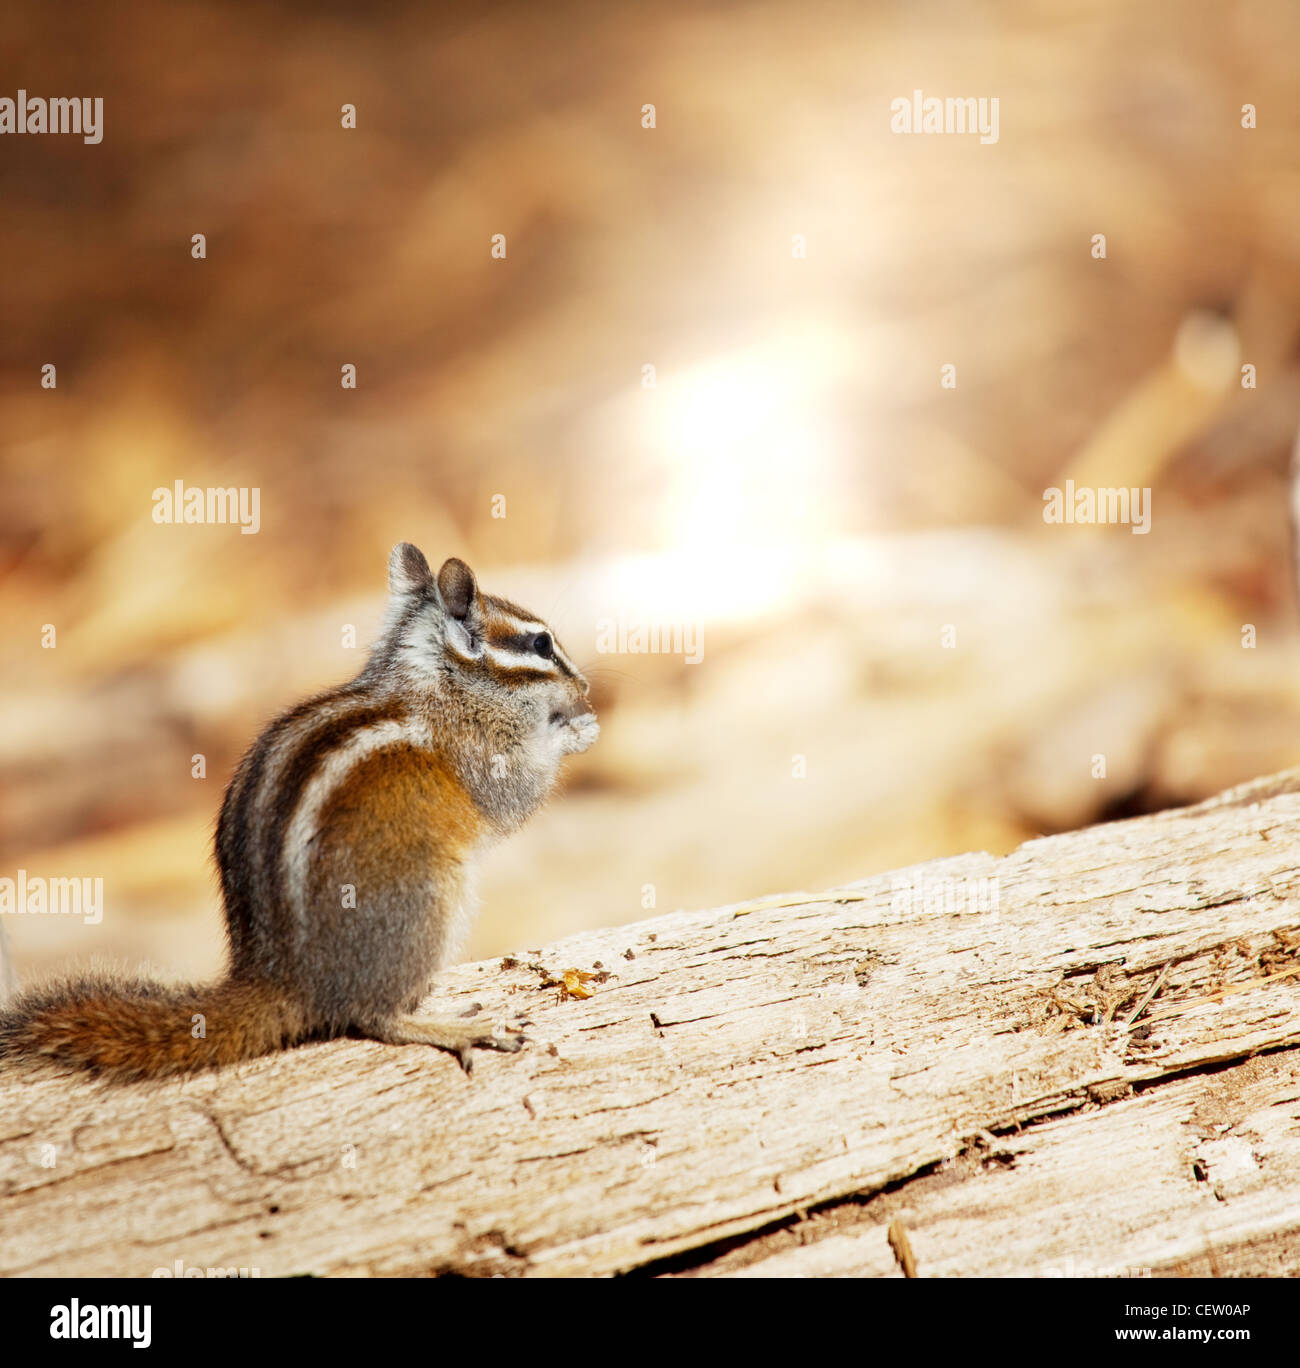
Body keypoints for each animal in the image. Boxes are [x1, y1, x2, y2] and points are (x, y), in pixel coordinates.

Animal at [0, 543, 598, 1082]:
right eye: (542, 644)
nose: (586, 685)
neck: (434, 682)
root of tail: (283, 981)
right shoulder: (482, 755)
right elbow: (517, 794)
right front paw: (575, 731)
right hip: (428, 900)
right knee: (372, 1017)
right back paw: (454, 1028)